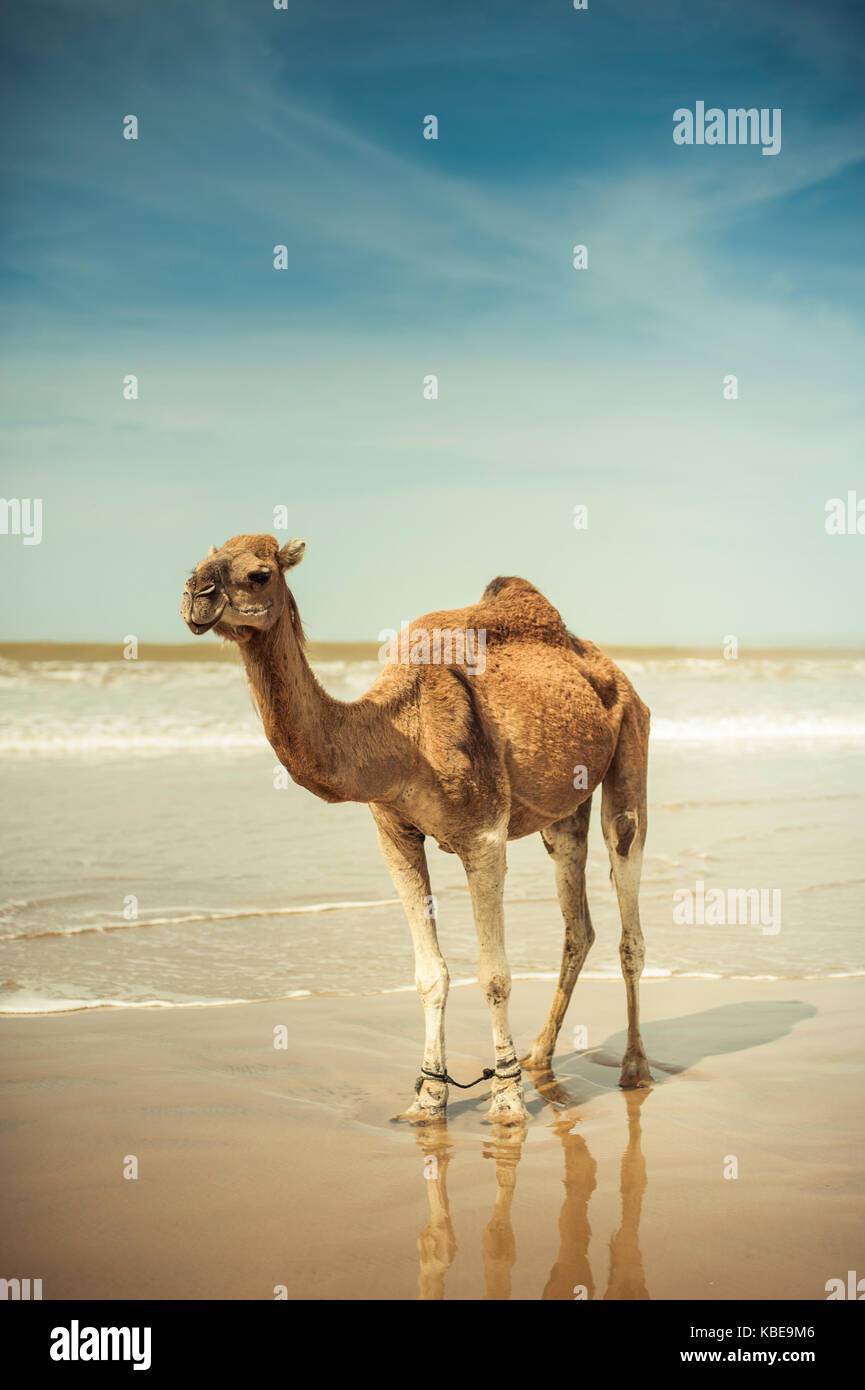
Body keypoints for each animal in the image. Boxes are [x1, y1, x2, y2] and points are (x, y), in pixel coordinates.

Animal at [181, 533, 652, 1124]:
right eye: (201, 561)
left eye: (259, 573)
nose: (195, 595)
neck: (400, 738)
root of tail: (608, 668)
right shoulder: (395, 835)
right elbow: (430, 974)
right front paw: (429, 1096)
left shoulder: (484, 836)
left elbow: (494, 975)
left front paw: (506, 1097)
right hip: (563, 810)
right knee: (578, 924)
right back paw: (541, 1055)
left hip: (631, 737)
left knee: (626, 892)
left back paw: (633, 1068)